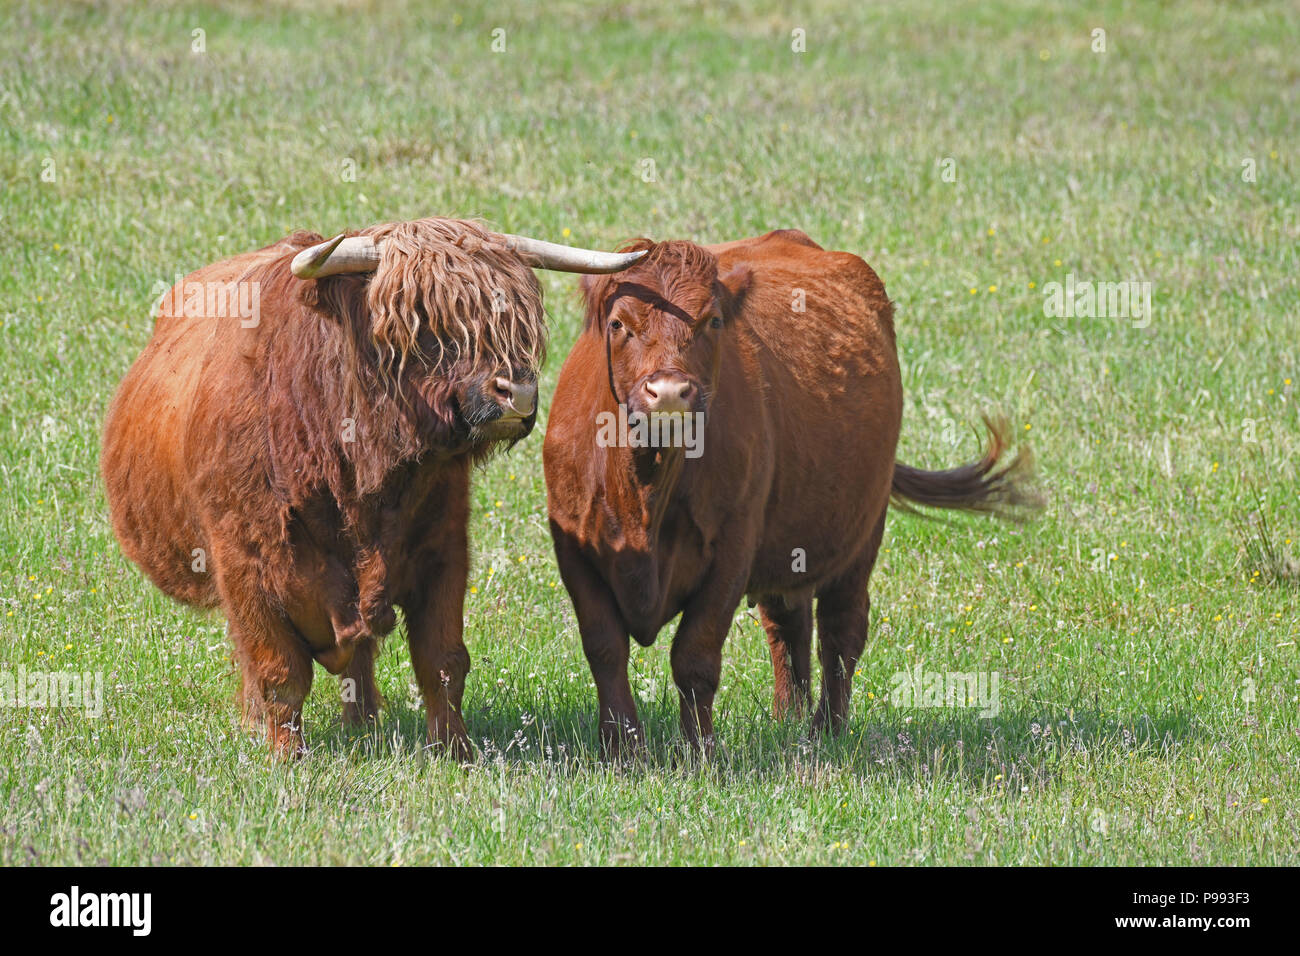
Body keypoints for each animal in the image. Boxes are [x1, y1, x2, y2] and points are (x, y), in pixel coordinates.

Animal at [102, 217, 643, 759]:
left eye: (517, 319)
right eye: (424, 324)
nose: (520, 393)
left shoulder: (444, 551)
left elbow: (444, 662)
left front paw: (456, 753)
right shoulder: (246, 559)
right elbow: (278, 671)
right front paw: (285, 758)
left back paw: (362, 728)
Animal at [543, 230, 1037, 759]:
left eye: (712, 321)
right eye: (619, 323)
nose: (670, 393)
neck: (647, 485)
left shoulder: (733, 548)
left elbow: (695, 657)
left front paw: (699, 755)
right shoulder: (576, 549)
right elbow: (604, 648)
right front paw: (622, 752)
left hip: (862, 530)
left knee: (842, 630)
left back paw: (826, 731)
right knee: (788, 624)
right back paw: (788, 719)